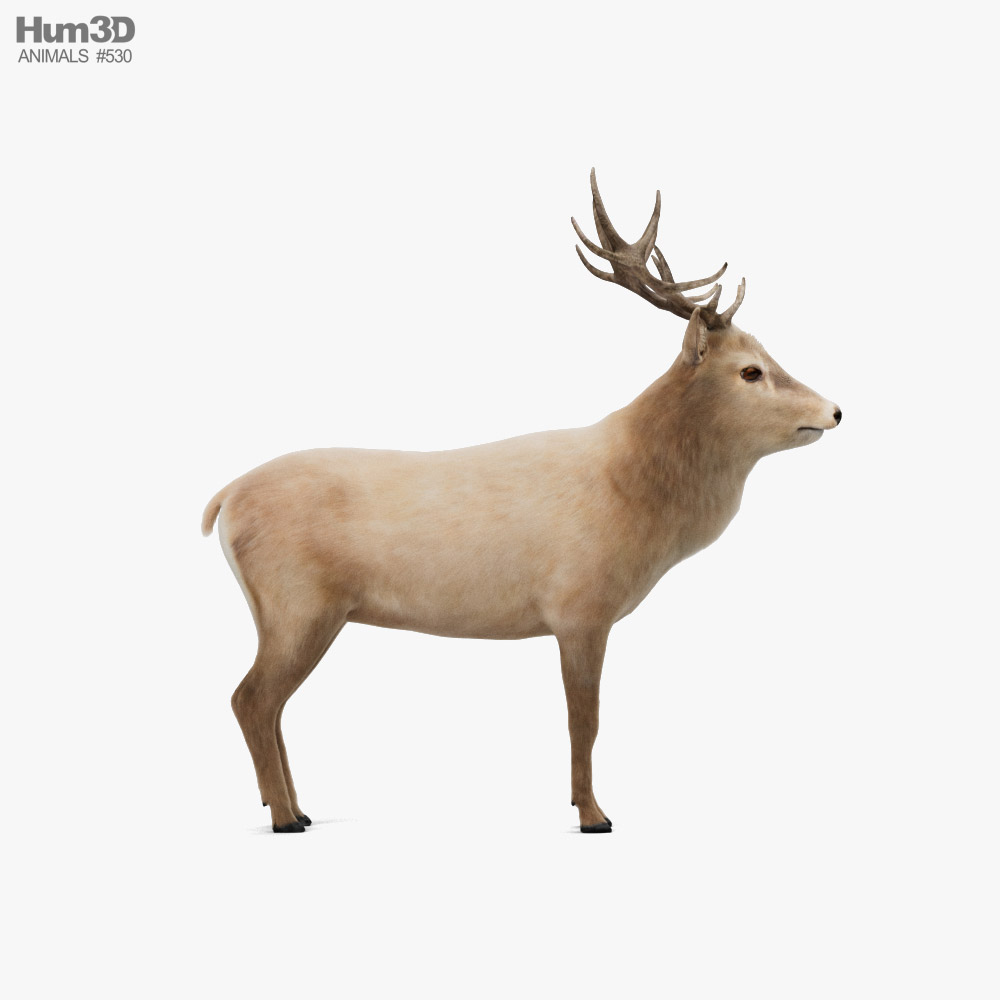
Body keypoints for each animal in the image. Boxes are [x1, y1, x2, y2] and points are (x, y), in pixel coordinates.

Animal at [202, 170, 841, 834]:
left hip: (283, 612)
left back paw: (300, 810)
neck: (636, 494)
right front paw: (593, 815)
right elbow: (584, 721)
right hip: (299, 604)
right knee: (251, 698)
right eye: (750, 371)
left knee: (269, 705)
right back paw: (283, 817)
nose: (834, 411)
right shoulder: (579, 609)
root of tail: (222, 501)